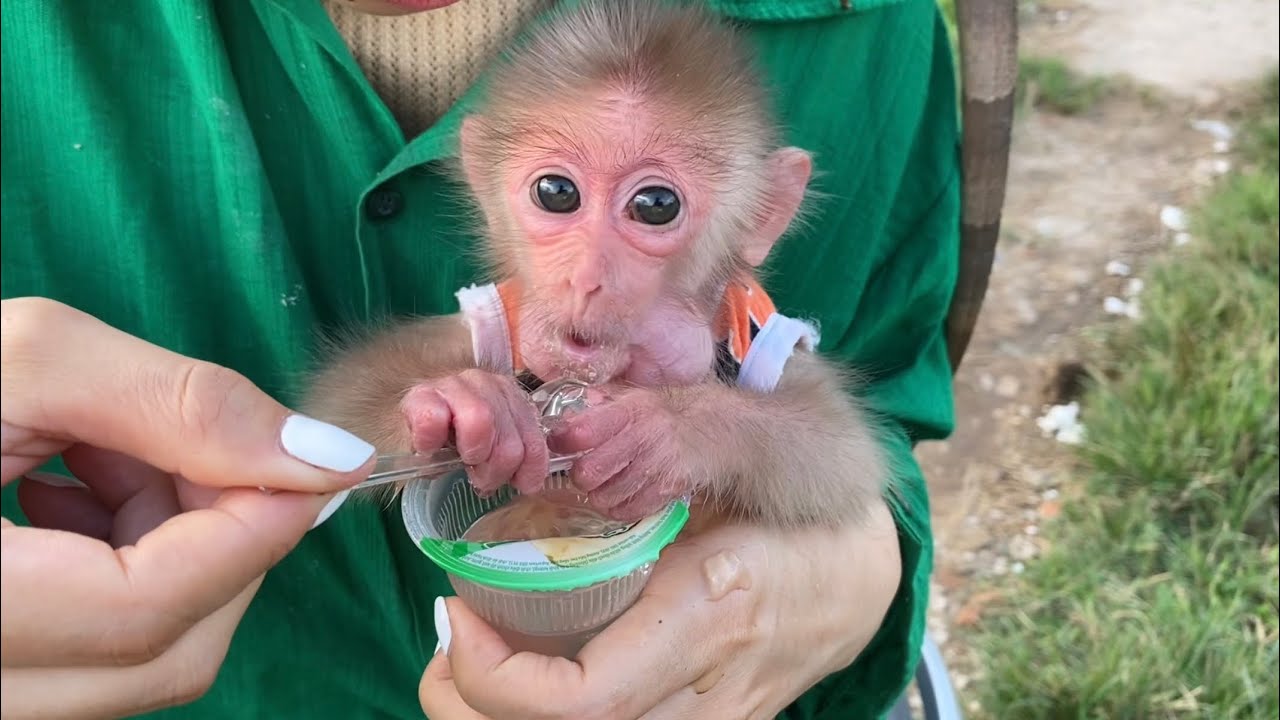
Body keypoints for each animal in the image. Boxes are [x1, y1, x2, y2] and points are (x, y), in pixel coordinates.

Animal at [301, 0, 891, 531]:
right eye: (556, 192)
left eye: (656, 205)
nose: (585, 278)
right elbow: (336, 406)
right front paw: (469, 403)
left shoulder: (759, 330)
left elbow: (843, 452)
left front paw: (666, 430)